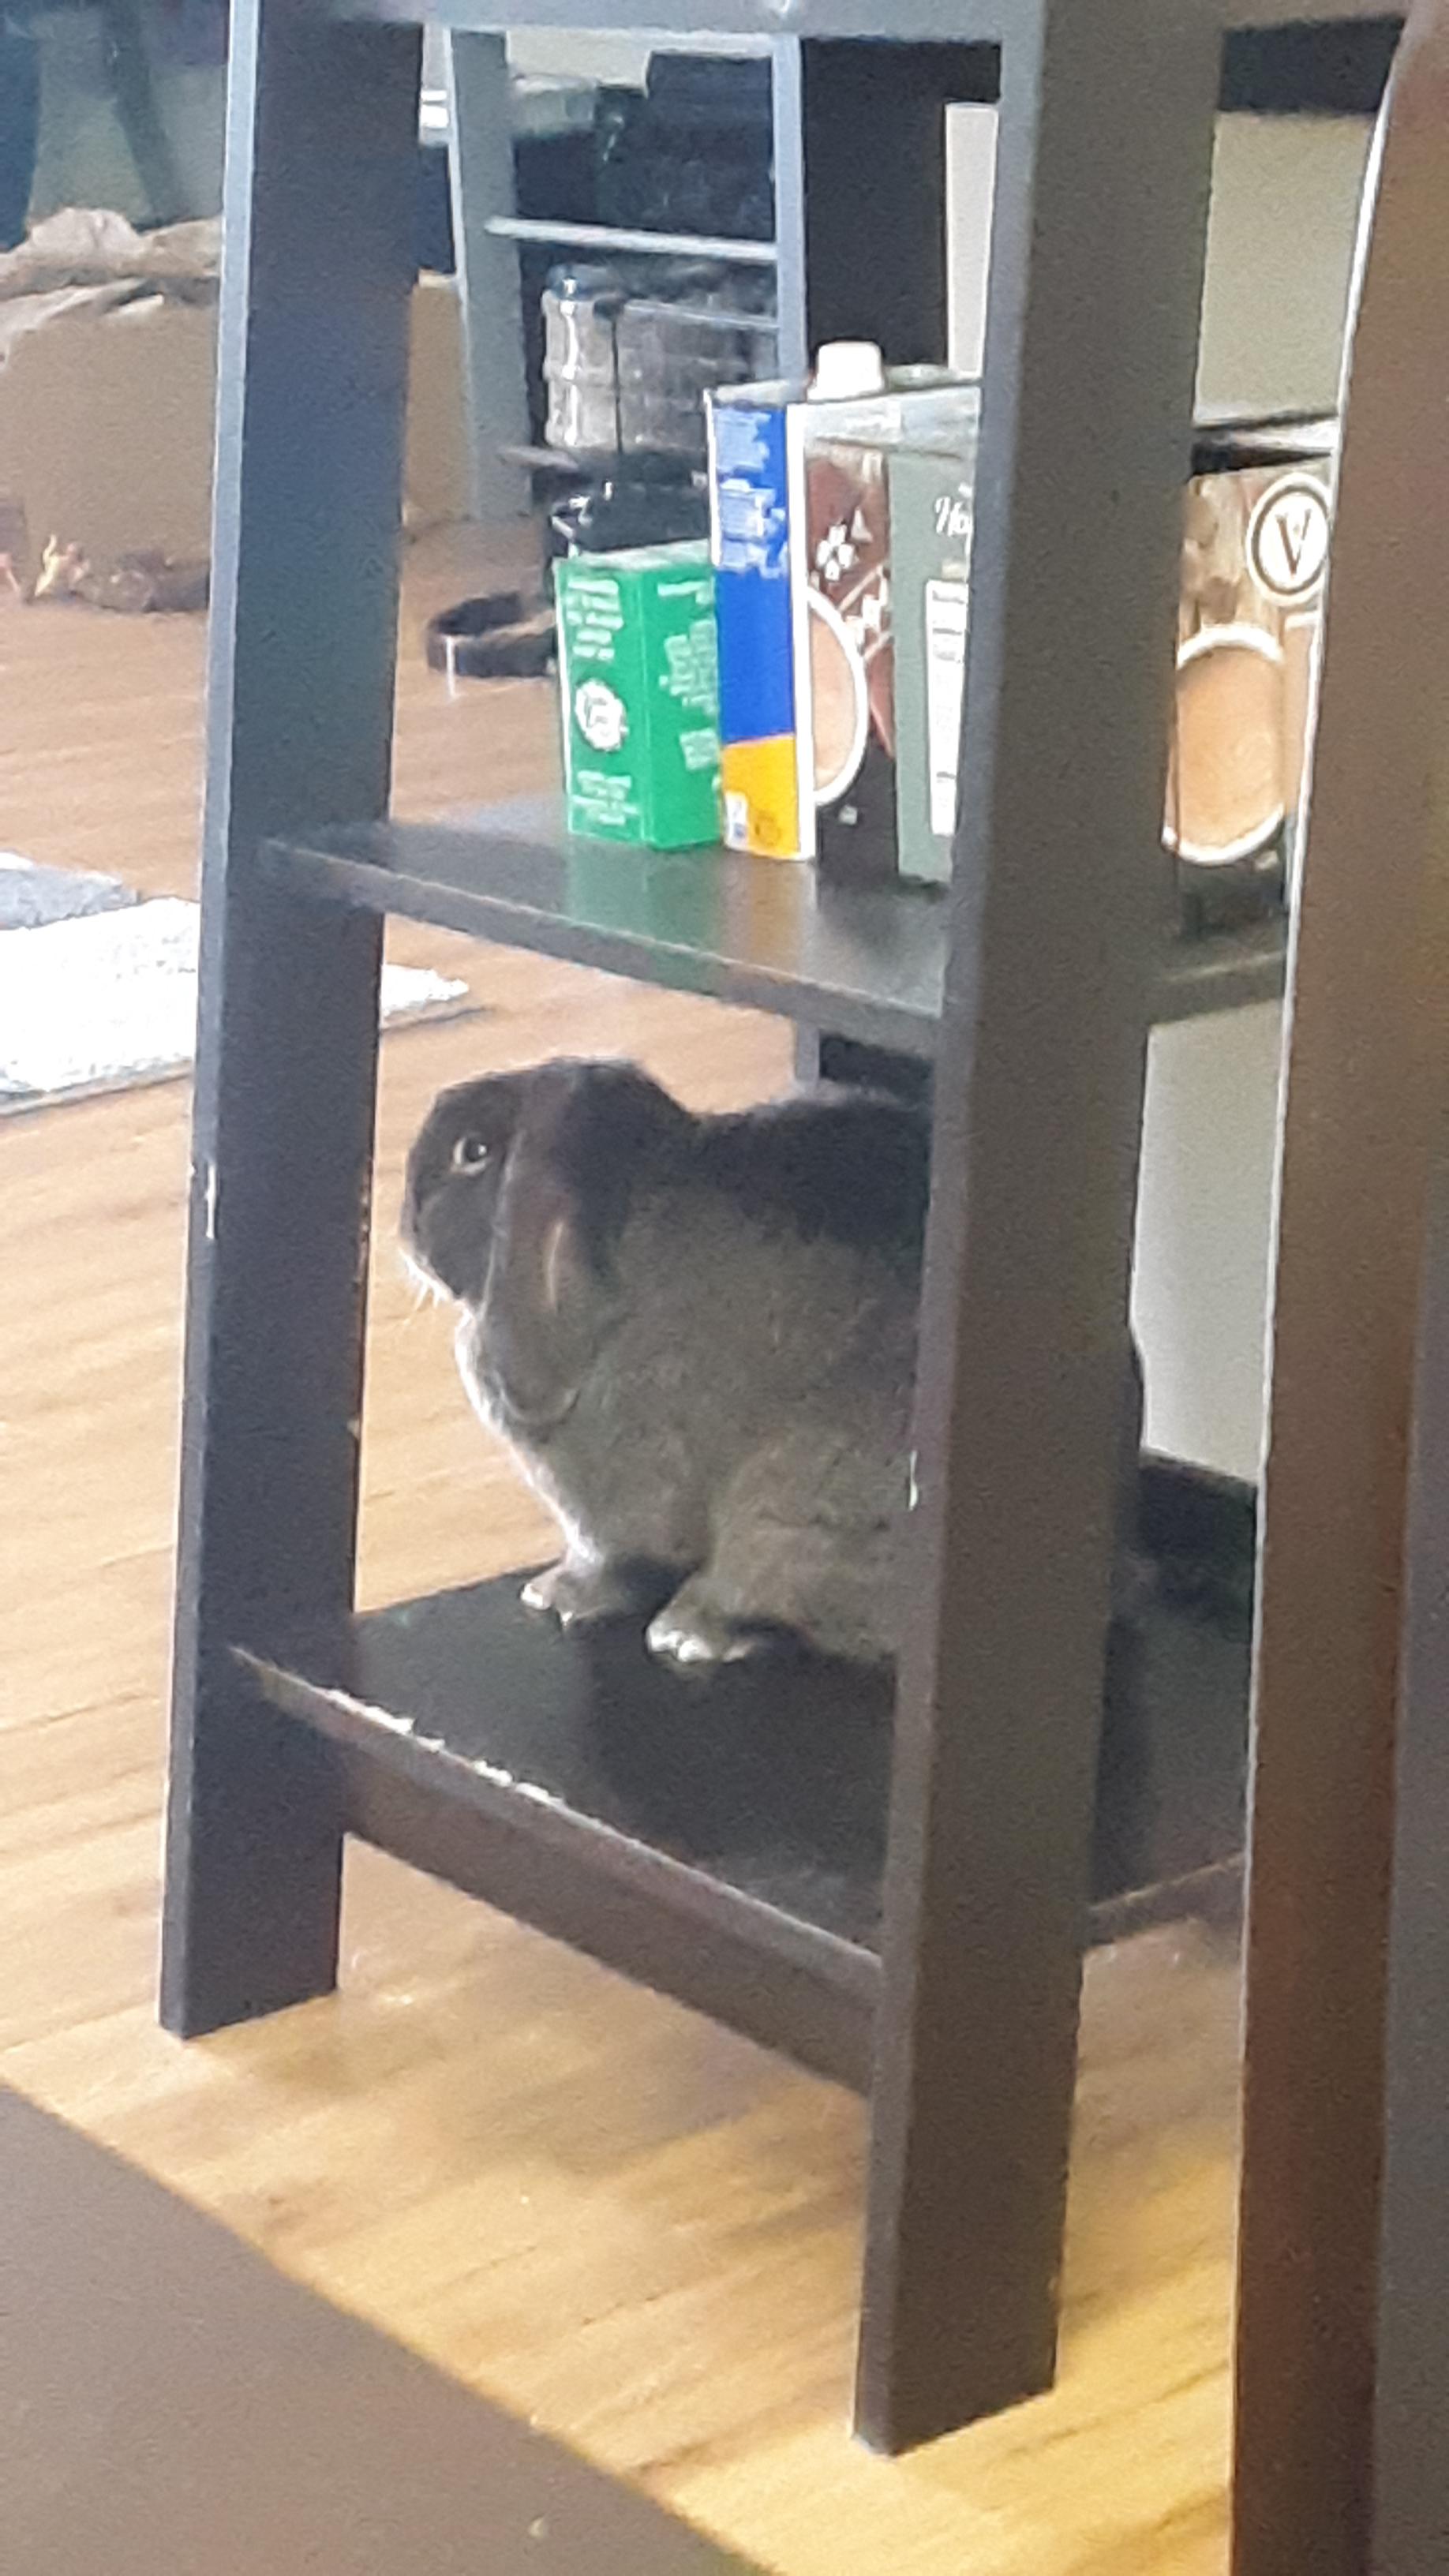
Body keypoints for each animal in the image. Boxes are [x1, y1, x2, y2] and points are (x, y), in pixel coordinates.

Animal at [401, 1057, 1146, 1672]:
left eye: (474, 1153)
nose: (404, 1221)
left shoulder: (616, 1506)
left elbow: (617, 1555)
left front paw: (557, 1594)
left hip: (783, 1515)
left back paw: (689, 1631)